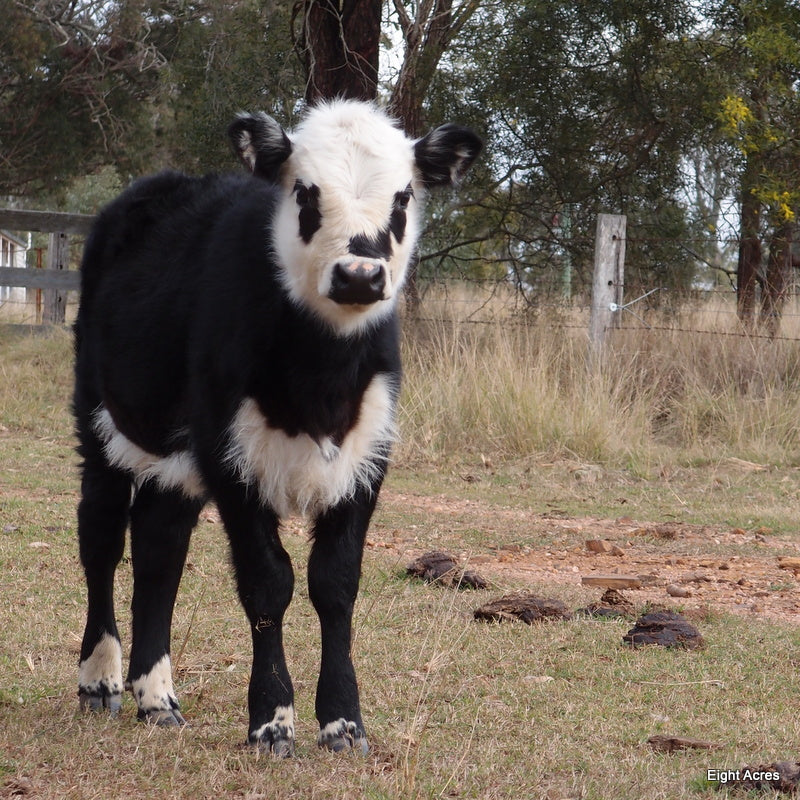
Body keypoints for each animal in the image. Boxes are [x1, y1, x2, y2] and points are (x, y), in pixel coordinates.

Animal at [73, 99, 481, 757]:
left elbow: (335, 584)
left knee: (159, 547)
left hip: (177, 455)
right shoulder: (230, 458)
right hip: (101, 417)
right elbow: (269, 583)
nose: (360, 275)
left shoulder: (367, 458)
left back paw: (156, 698)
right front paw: (271, 720)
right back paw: (100, 680)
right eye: (305, 192)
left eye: (403, 198)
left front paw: (343, 721)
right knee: (102, 536)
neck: (320, 381)